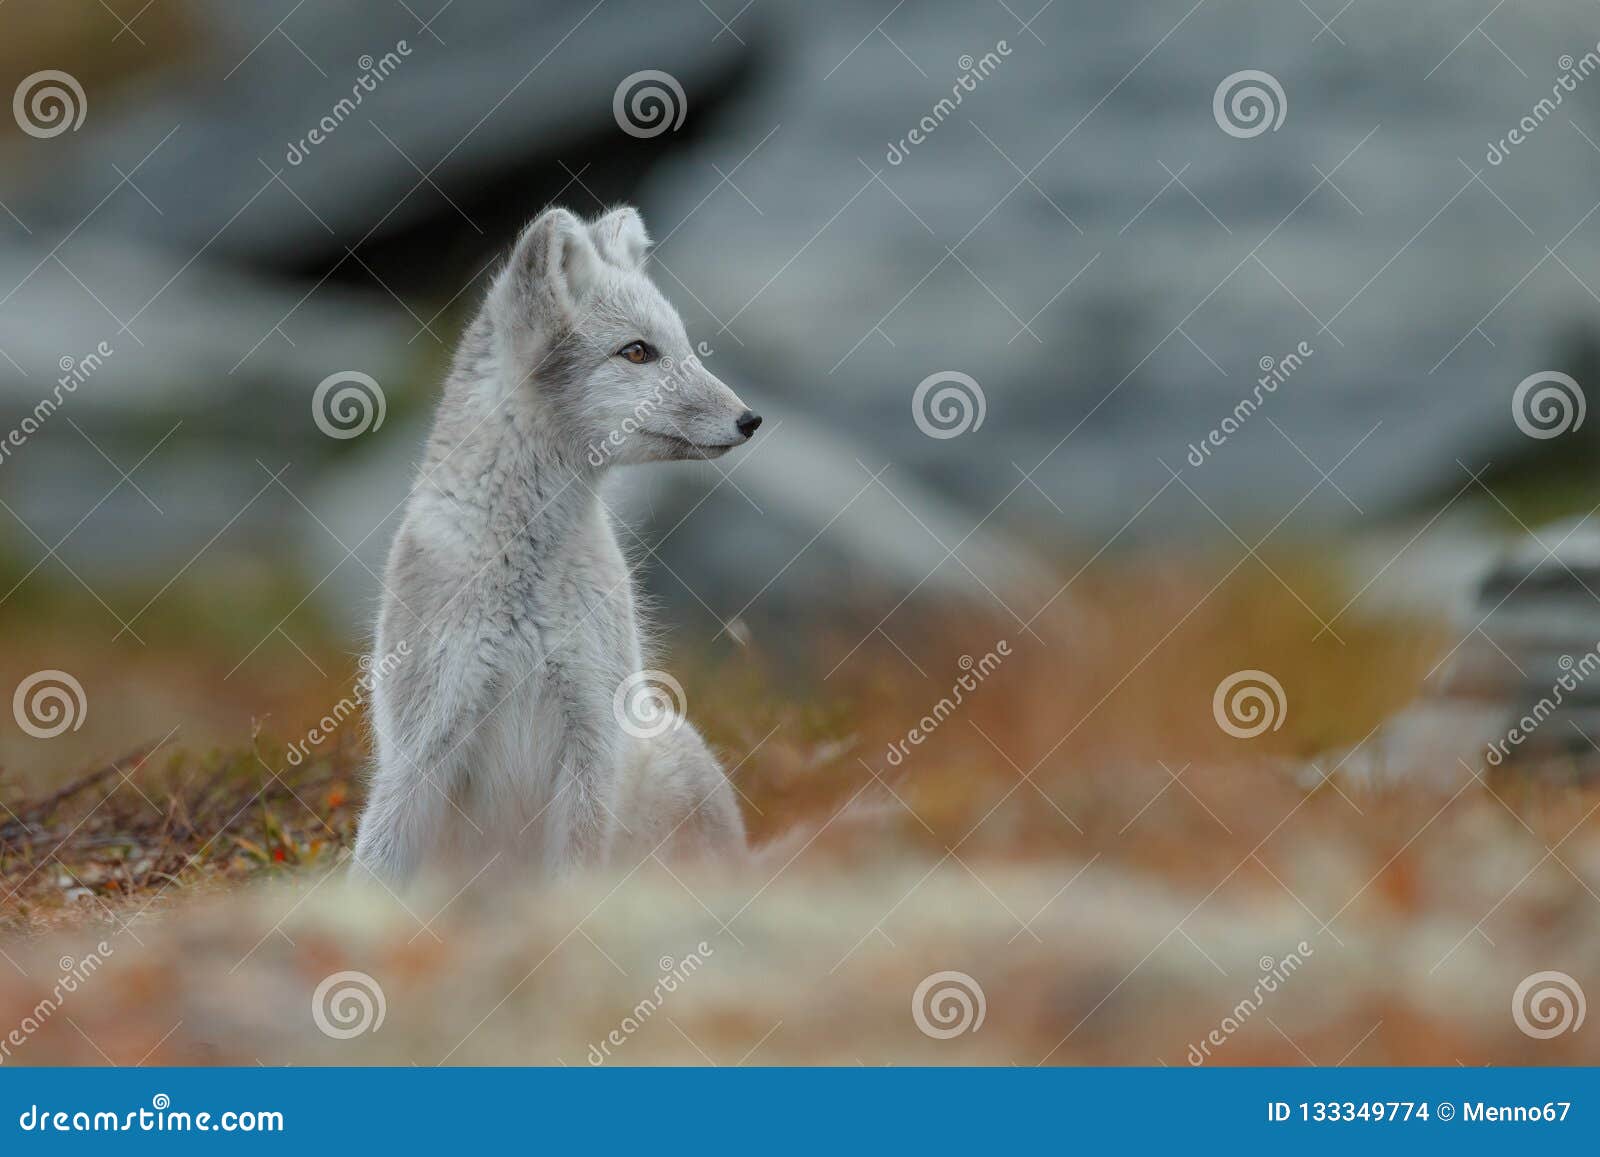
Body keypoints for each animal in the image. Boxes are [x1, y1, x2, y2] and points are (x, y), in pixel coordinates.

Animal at [351, 205, 760, 887]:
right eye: (638, 352)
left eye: (680, 345)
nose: (750, 419)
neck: (524, 574)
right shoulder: (422, 744)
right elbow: (378, 858)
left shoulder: (591, 735)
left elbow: (575, 875)